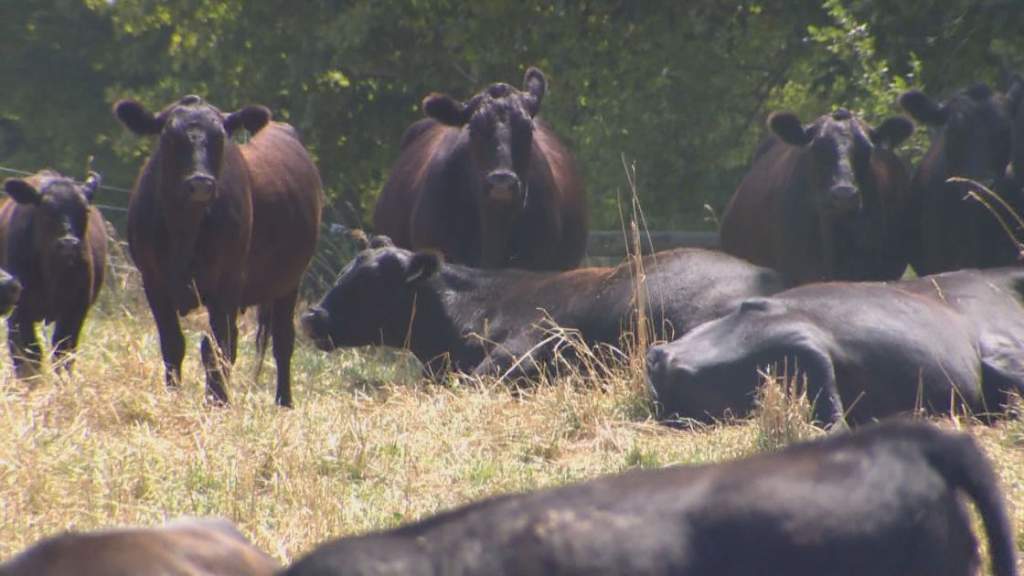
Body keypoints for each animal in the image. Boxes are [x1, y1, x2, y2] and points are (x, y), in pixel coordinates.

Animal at [0, 170, 106, 376]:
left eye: (85, 211)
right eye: (46, 210)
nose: (69, 244)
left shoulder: (75, 310)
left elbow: (63, 351)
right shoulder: (20, 312)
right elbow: (30, 353)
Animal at [114, 95, 323, 407]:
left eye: (220, 137)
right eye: (169, 137)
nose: (200, 183)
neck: (184, 230)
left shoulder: (227, 281)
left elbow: (216, 348)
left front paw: (217, 401)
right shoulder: (153, 281)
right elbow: (173, 344)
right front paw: (174, 395)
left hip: (289, 282)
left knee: (282, 341)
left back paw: (283, 401)